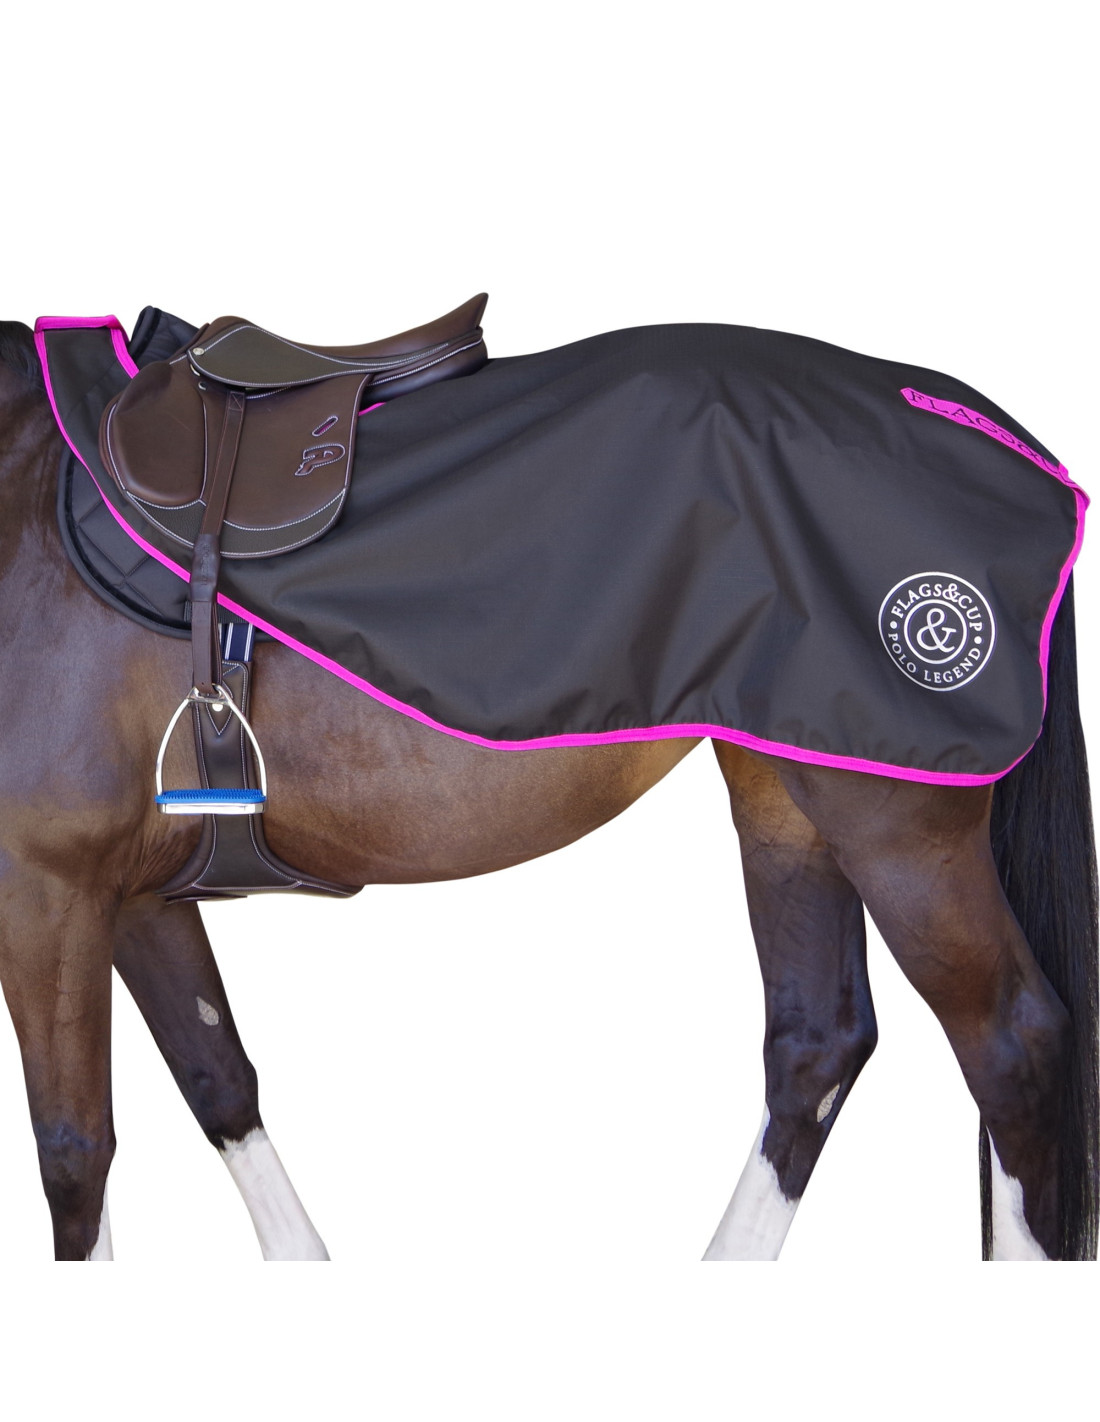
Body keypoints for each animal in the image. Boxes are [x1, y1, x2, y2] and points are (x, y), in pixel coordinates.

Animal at [0, 314, 1096, 1262]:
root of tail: (994, 432)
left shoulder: (45, 890)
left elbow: (73, 1155)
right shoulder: (131, 893)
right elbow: (216, 1081)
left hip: (899, 829)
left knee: (1013, 1049)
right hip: (792, 805)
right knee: (815, 1045)